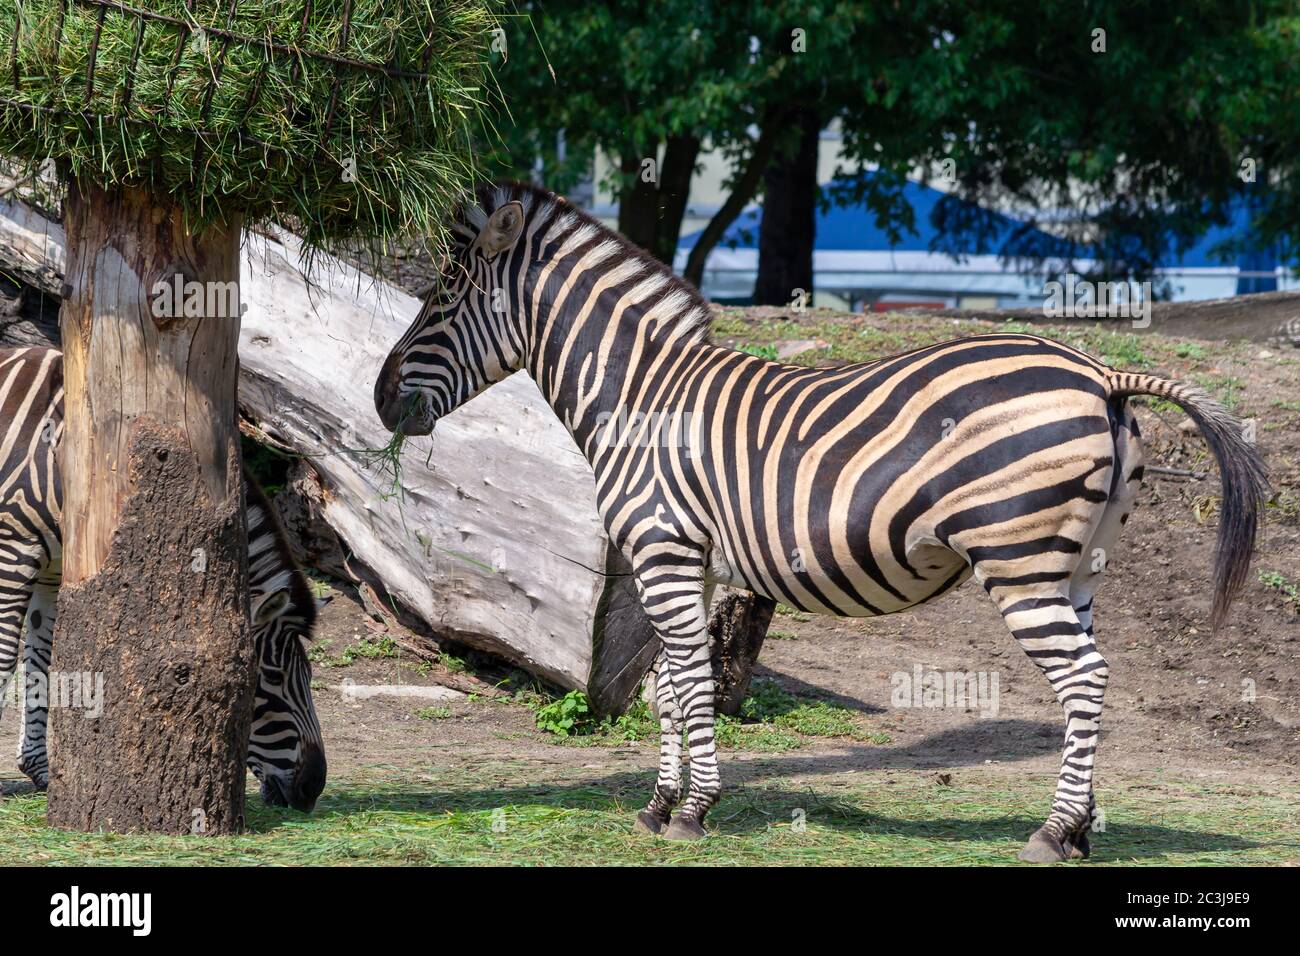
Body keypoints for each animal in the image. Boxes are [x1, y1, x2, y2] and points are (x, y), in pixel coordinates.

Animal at [0, 346, 326, 812]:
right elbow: (6, 657)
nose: (312, 787)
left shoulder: (54, 569)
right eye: (272, 678)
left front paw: (40, 769)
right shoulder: (15, 545)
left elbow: (42, 660)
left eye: (310, 677)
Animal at [374, 182, 1268, 862]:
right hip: (1079, 563)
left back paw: (1052, 835)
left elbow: (689, 680)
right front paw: (661, 805)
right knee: (1095, 673)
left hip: (1018, 558)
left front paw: (693, 810)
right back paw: (1081, 831)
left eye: (441, 299)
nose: (381, 400)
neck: (639, 396)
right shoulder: (691, 559)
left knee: (1085, 678)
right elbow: (670, 686)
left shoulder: (662, 547)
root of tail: (1101, 372)